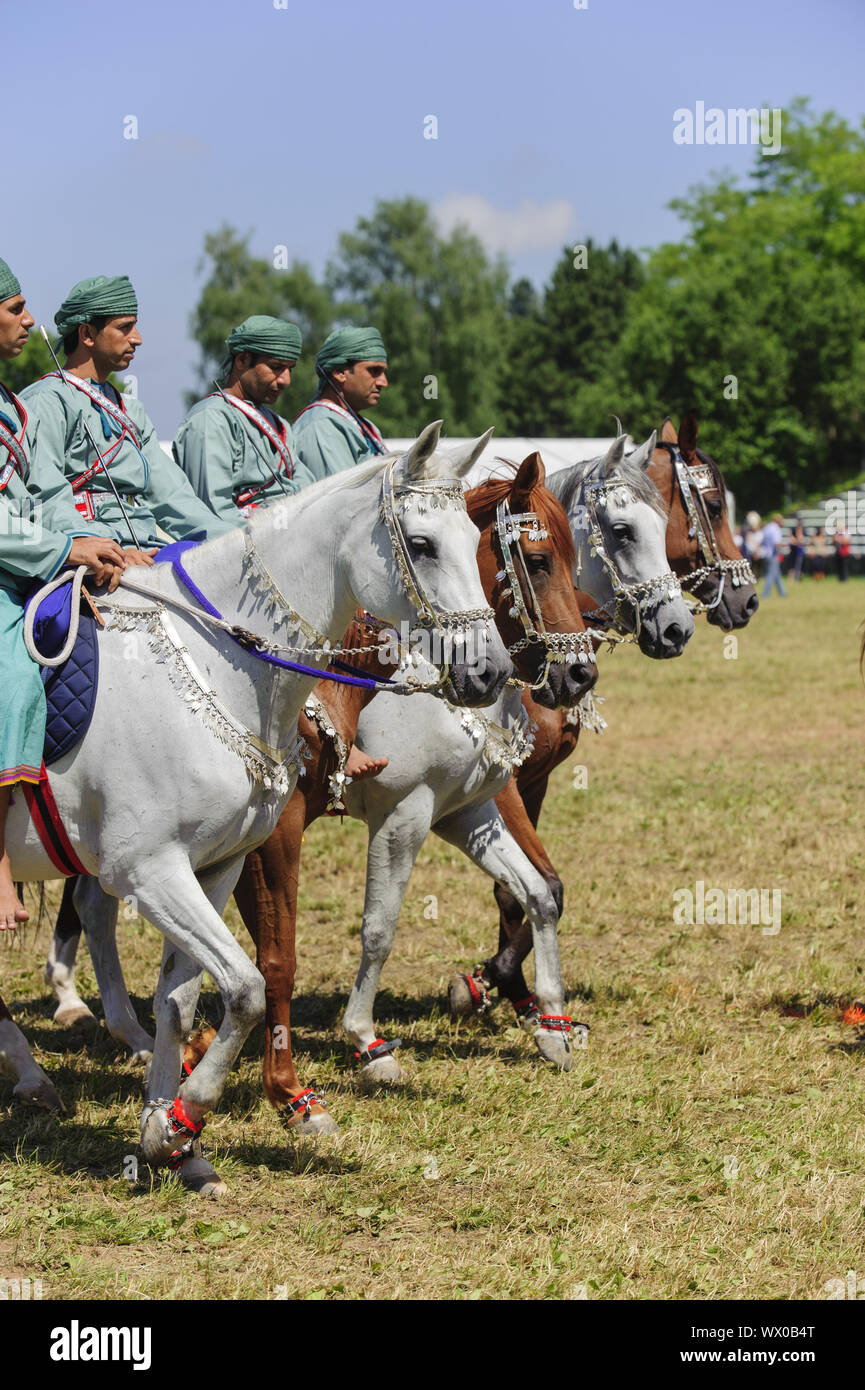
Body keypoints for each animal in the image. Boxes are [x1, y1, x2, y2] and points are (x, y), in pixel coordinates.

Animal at [3, 417, 511, 1189]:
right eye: (422, 544)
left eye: (474, 540)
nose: (490, 672)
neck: (213, 665)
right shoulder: (150, 871)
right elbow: (244, 987)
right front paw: (186, 1116)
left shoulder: (214, 867)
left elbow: (181, 1002)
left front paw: (171, 1140)